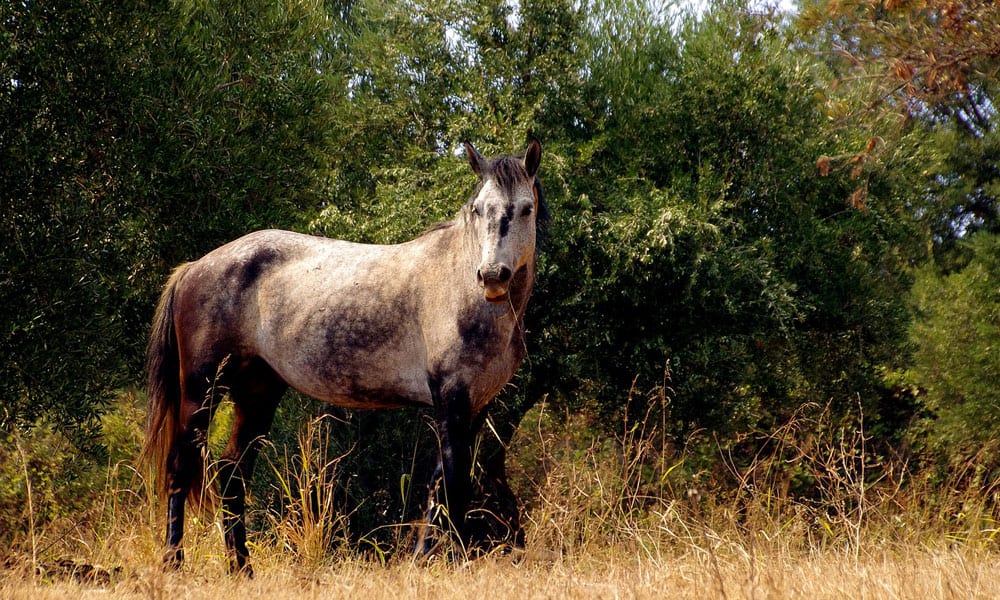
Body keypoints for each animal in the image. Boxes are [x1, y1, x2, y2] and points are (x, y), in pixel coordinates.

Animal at [142, 140, 546, 575]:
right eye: (478, 209)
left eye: (525, 208)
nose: (492, 276)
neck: (460, 287)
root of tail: (194, 267)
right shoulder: (451, 399)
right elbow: (454, 485)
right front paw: (454, 562)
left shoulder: (474, 406)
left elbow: (439, 484)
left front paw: (421, 559)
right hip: (200, 390)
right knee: (181, 467)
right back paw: (173, 563)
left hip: (256, 394)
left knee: (233, 474)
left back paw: (242, 569)